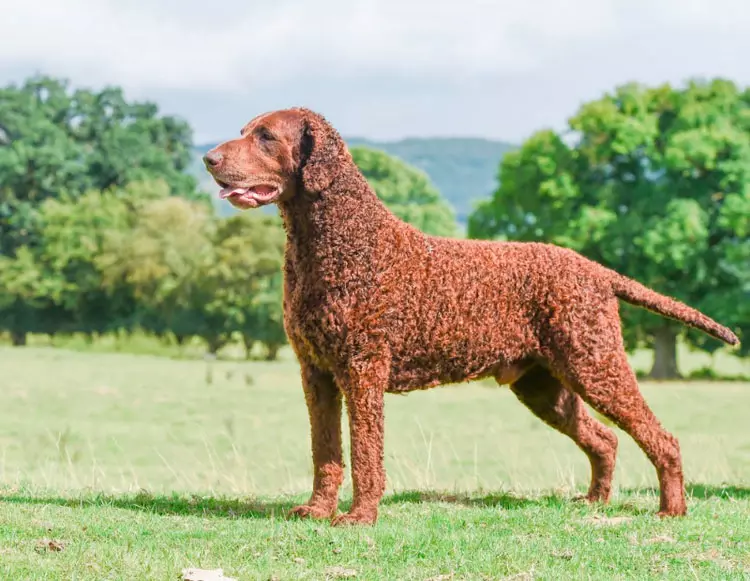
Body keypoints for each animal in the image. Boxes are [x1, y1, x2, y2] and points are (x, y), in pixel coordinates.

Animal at [204, 106, 740, 524]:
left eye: (266, 136)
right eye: (245, 129)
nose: (208, 159)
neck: (344, 242)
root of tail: (594, 269)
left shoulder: (363, 369)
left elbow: (364, 452)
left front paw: (360, 517)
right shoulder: (315, 372)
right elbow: (326, 452)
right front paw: (317, 510)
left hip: (596, 365)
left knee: (661, 437)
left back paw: (671, 509)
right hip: (546, 386)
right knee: (605, 440)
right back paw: (594, 502)